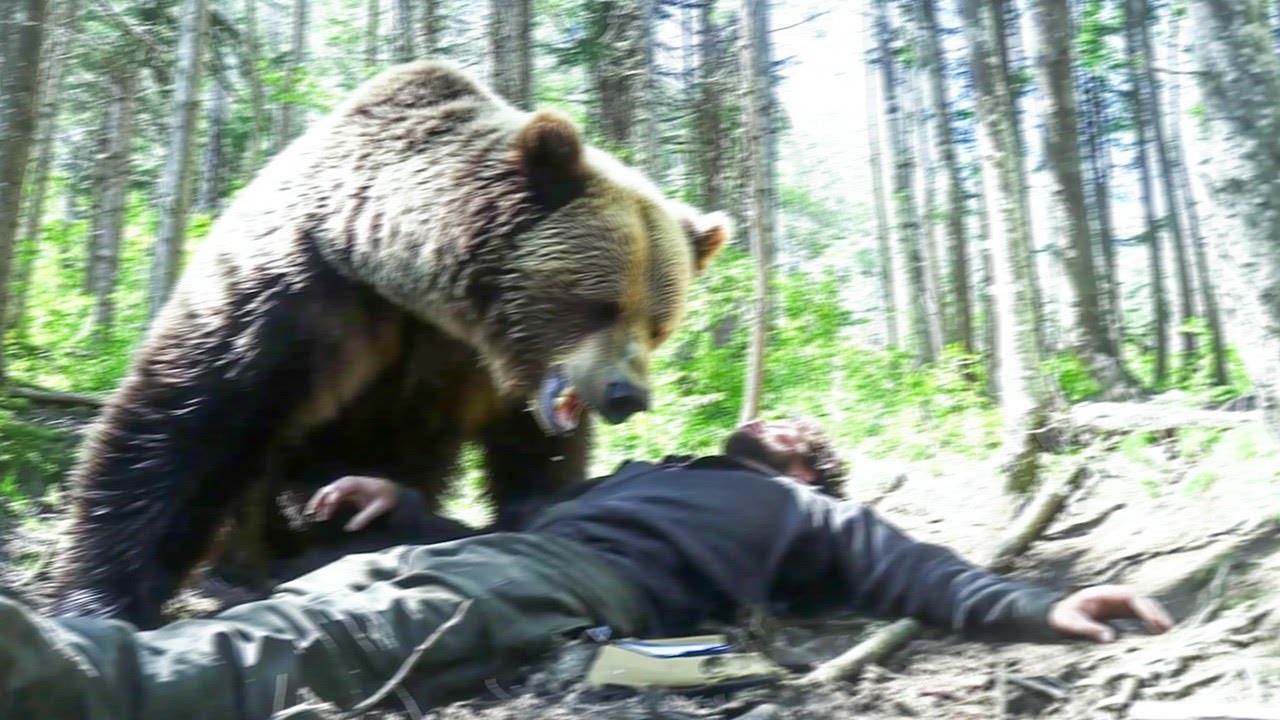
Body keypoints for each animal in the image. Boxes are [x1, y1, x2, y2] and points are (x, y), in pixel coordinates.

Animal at [48, 61, 728, 630]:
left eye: (659, 323)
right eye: (601, 304)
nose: (625, 395)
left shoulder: (482, 378)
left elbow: (535, 462)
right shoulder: (304, 292)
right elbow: (191, 420)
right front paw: (96, 599)